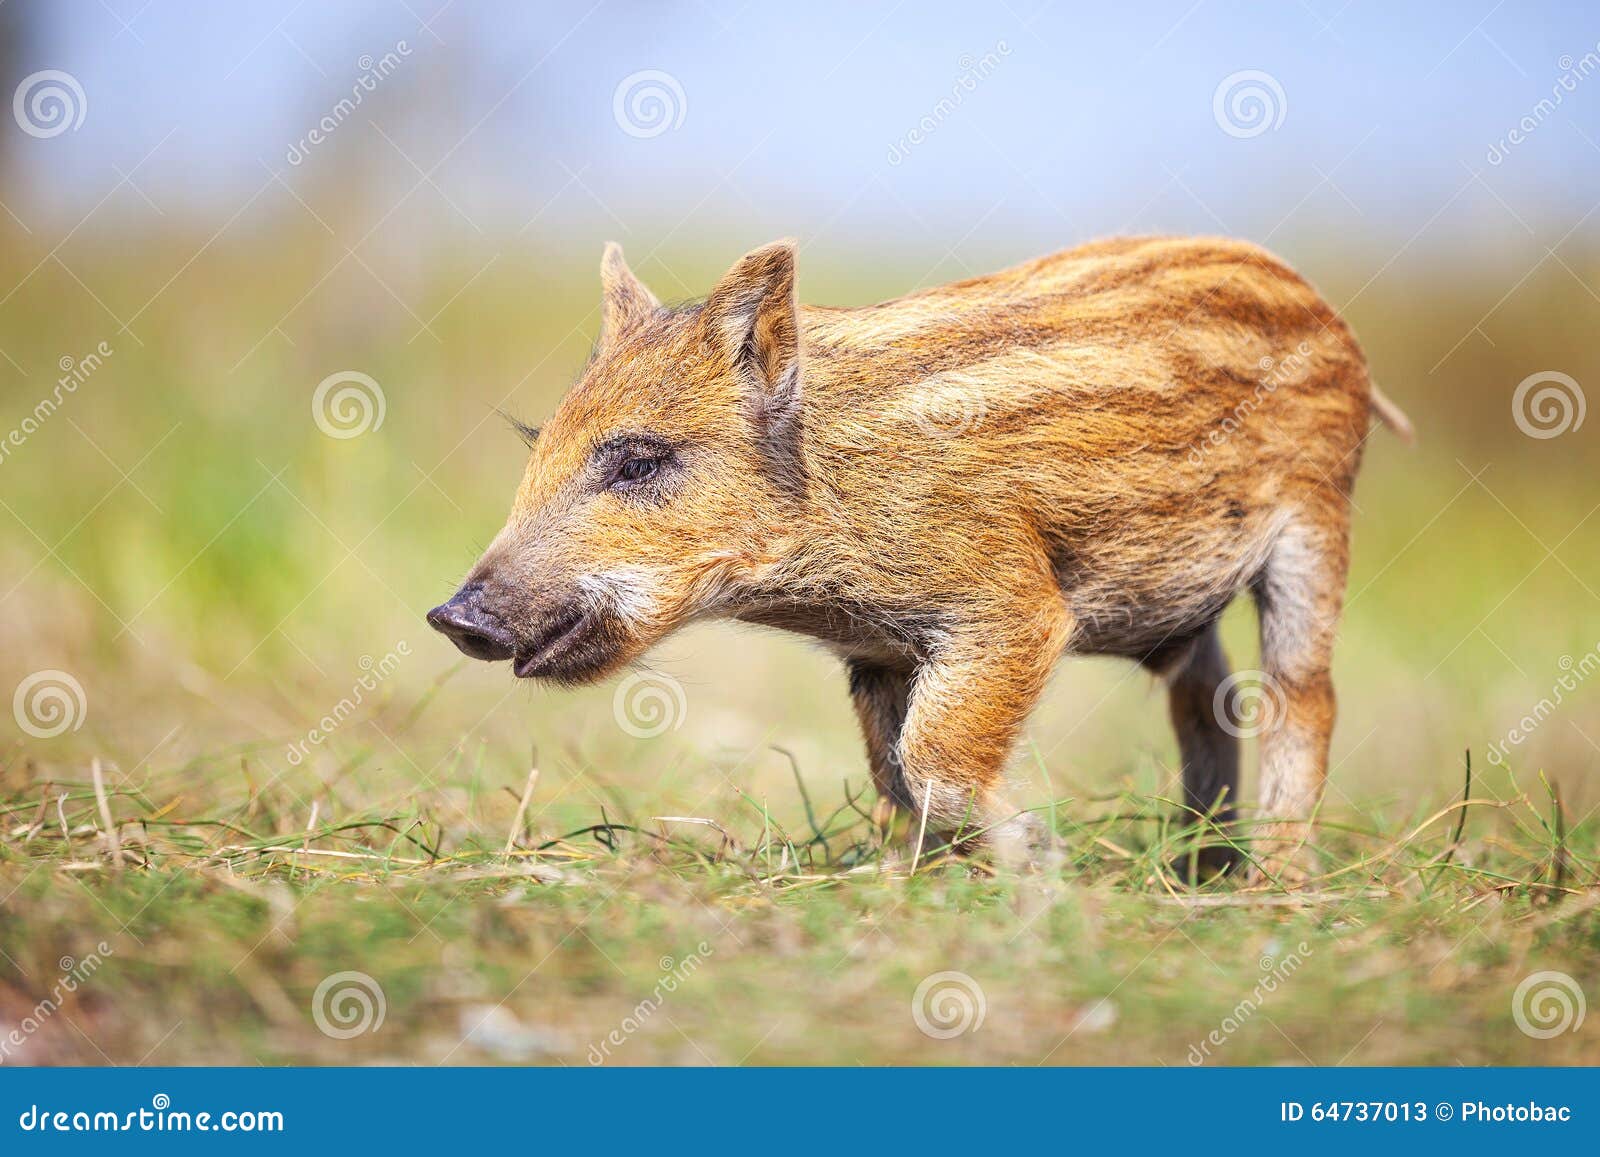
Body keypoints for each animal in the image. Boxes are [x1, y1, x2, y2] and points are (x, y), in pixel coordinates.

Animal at [427, 236, 1412, 882]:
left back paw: (1272, 887)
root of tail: (1334, 321)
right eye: (538, 448)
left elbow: (933, 756)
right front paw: (924, 887)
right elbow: (894, 773)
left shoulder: (1014, 608)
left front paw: (1036, 863)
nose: (452, 615)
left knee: (1301, 697)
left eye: (638, 460)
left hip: (1317, 523)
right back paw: (1201, 867)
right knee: (1208, 698)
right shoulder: (875, 652)